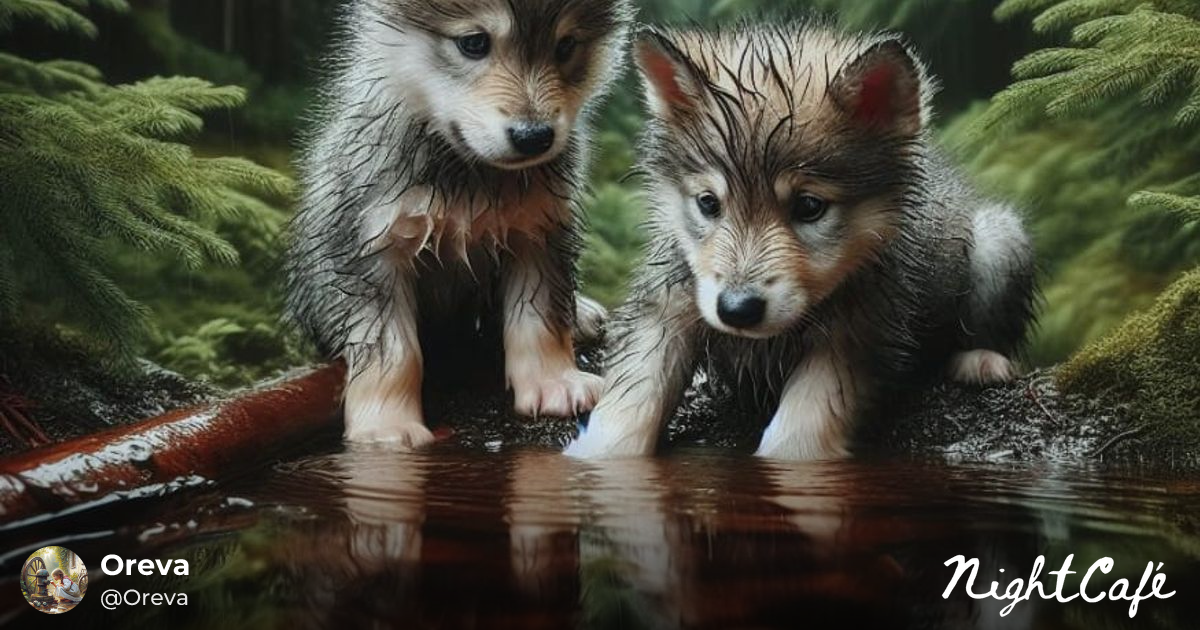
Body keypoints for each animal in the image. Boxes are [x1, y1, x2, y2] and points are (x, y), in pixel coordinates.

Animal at [286, 0, 634, 447]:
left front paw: (553, 382)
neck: (469, 173)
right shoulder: (370, 249)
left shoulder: (540, 231)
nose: (535, 137)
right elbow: (393, 351)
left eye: (566, 46)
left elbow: (540, 318)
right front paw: (386, 425)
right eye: (474, 43)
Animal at [566, 20, 1037, 460]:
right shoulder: (668, 303)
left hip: (999, 236)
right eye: (708, 203)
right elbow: (630, 398)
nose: (736, 310)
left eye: (809, 206)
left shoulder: (859, 333)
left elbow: (795, 438)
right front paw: (595, 455)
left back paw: (980, 359)